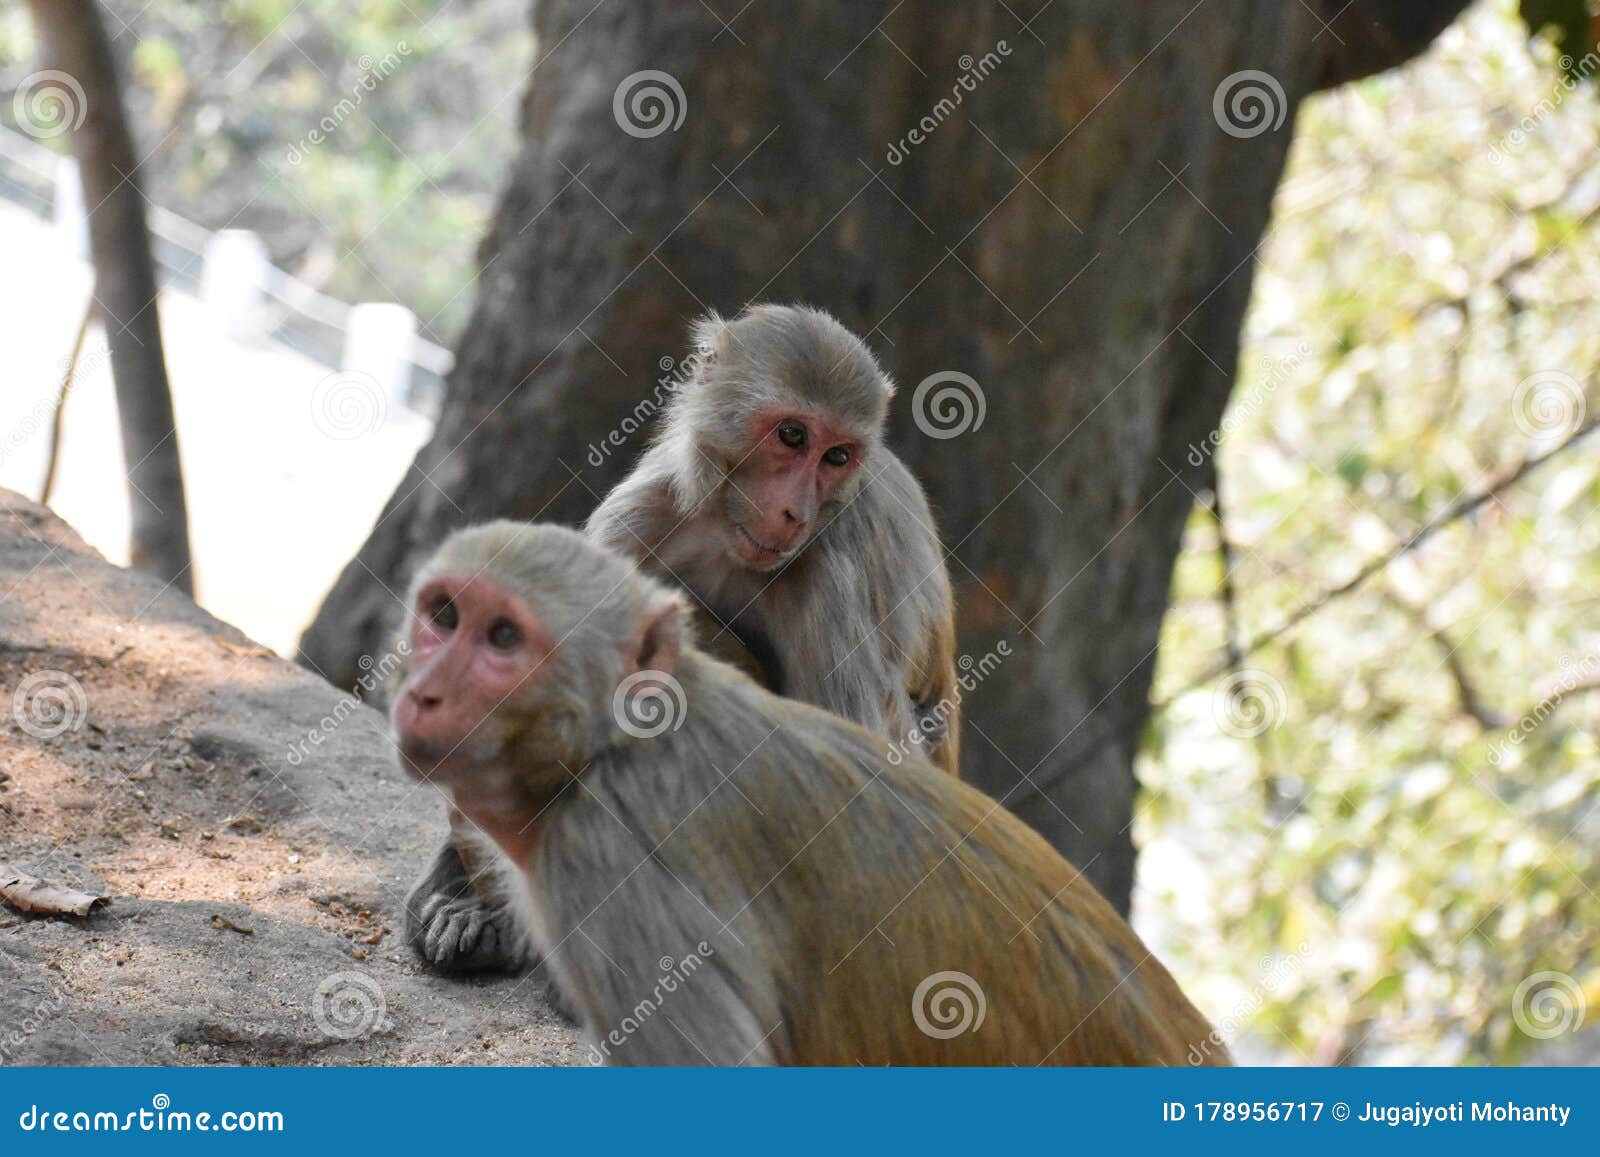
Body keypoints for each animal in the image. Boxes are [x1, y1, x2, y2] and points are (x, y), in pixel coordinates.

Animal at [403, 304, 962, 977]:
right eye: (792, 436)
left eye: (837, 456)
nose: (795, 512)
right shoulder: (640, 515)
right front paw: (488, 909)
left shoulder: (831, 579)